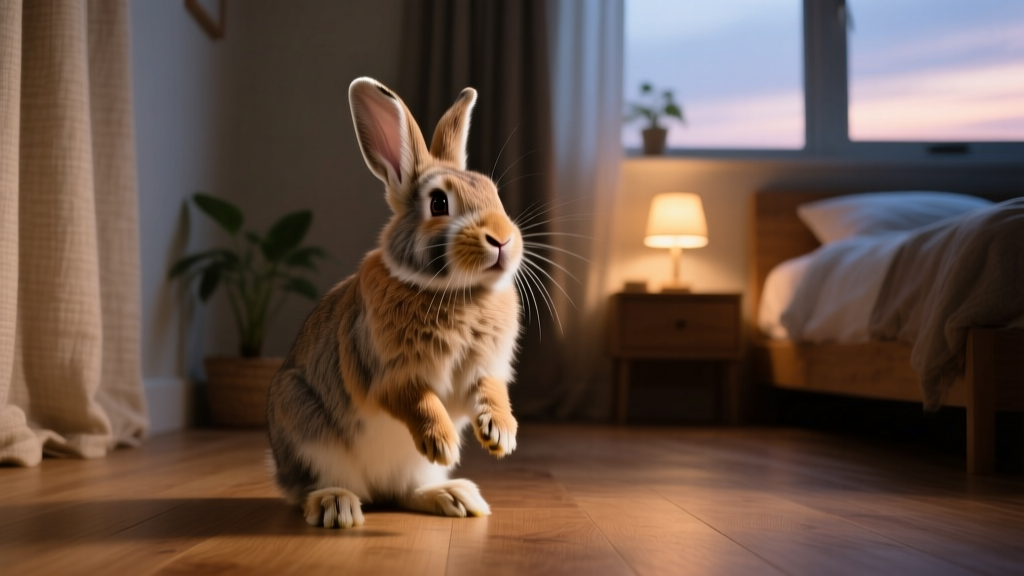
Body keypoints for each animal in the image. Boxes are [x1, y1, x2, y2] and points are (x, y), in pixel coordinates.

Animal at [267, 77, 522, 529]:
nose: (502, 239)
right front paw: (443, 442)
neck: (457, 292)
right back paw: (337, 506)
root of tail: (374, 492)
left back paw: (455, 496)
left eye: (494, 195)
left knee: (405, 492)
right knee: (309, 491)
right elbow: (417, 400)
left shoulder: (483, 369)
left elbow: (489, 389)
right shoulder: (386, 373)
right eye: (439, 203)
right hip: (302, 425)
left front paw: (501, 434)